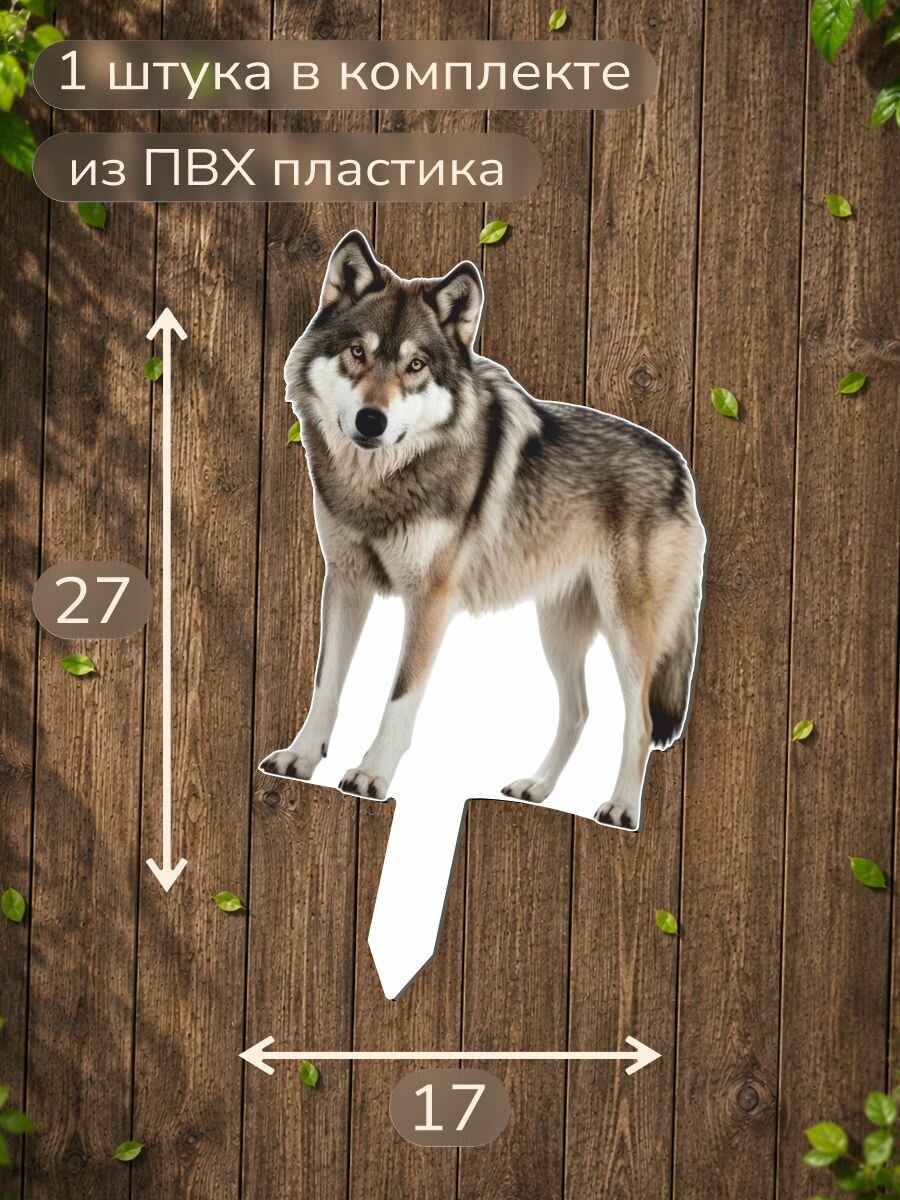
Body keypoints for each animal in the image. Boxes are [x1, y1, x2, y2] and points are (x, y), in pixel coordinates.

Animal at [260, 230, 705, 829]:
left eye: (416, 365)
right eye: (358, 352)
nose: (371, 420)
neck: (379, 486)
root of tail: (682, 468)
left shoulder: (430, 601)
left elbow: (399, 696)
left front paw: (372, 776)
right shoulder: (345, 583)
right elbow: (326, 683)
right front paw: (302, 758)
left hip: (628, 632)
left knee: (640, 722)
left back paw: (619, 808)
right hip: (557, 630)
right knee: (579, 710)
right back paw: (536, 788)